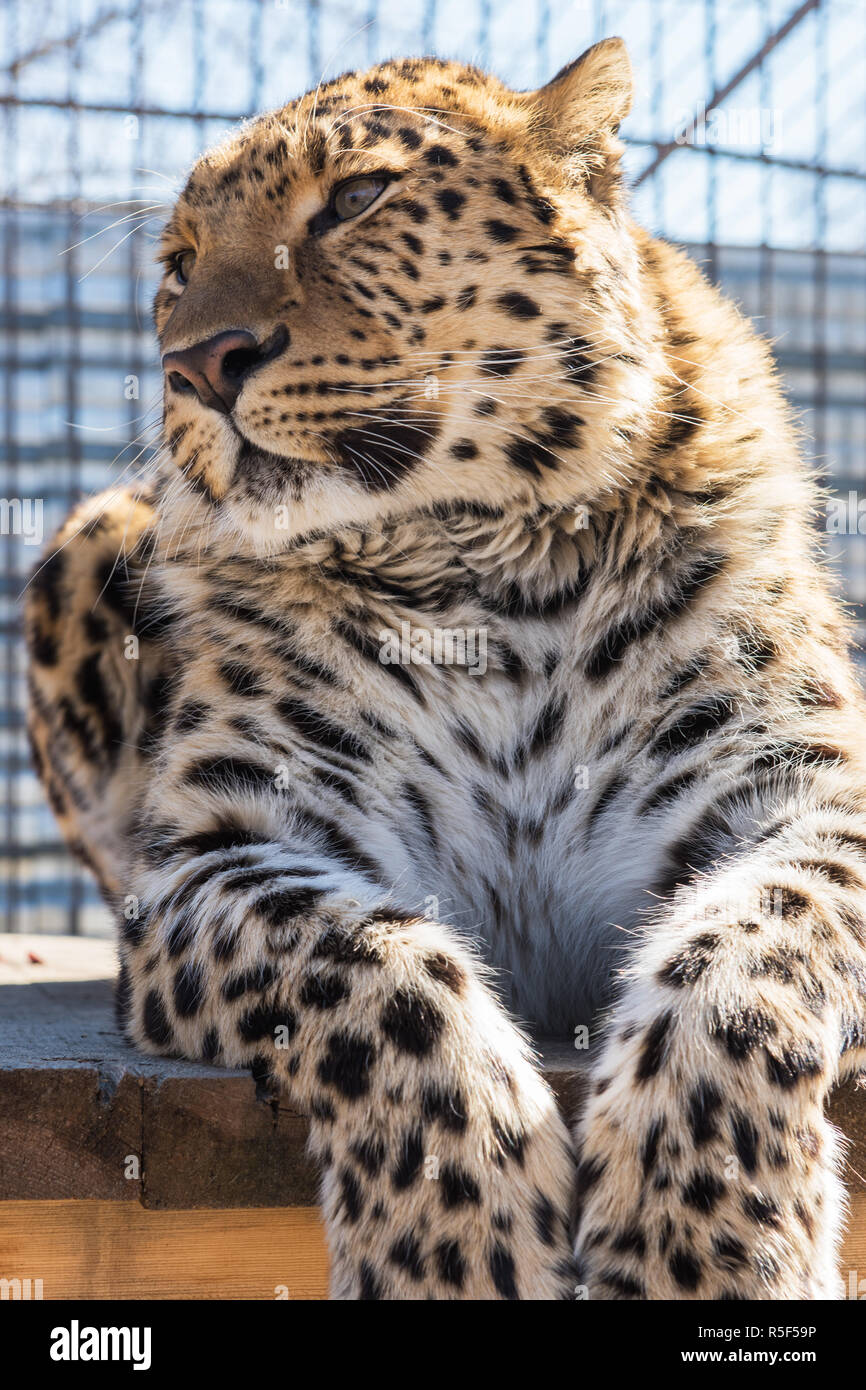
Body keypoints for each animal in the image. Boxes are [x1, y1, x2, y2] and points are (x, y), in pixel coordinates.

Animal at [24, 37, 866, 1300]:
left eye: (356, 199)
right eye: (177, 267)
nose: (196, 364)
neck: (486, 576)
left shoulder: (807, 796)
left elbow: (739, 964)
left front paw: (703, 1246)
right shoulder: (221, 851)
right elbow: (377, 967)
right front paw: (450, 1246)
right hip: (86, 540)